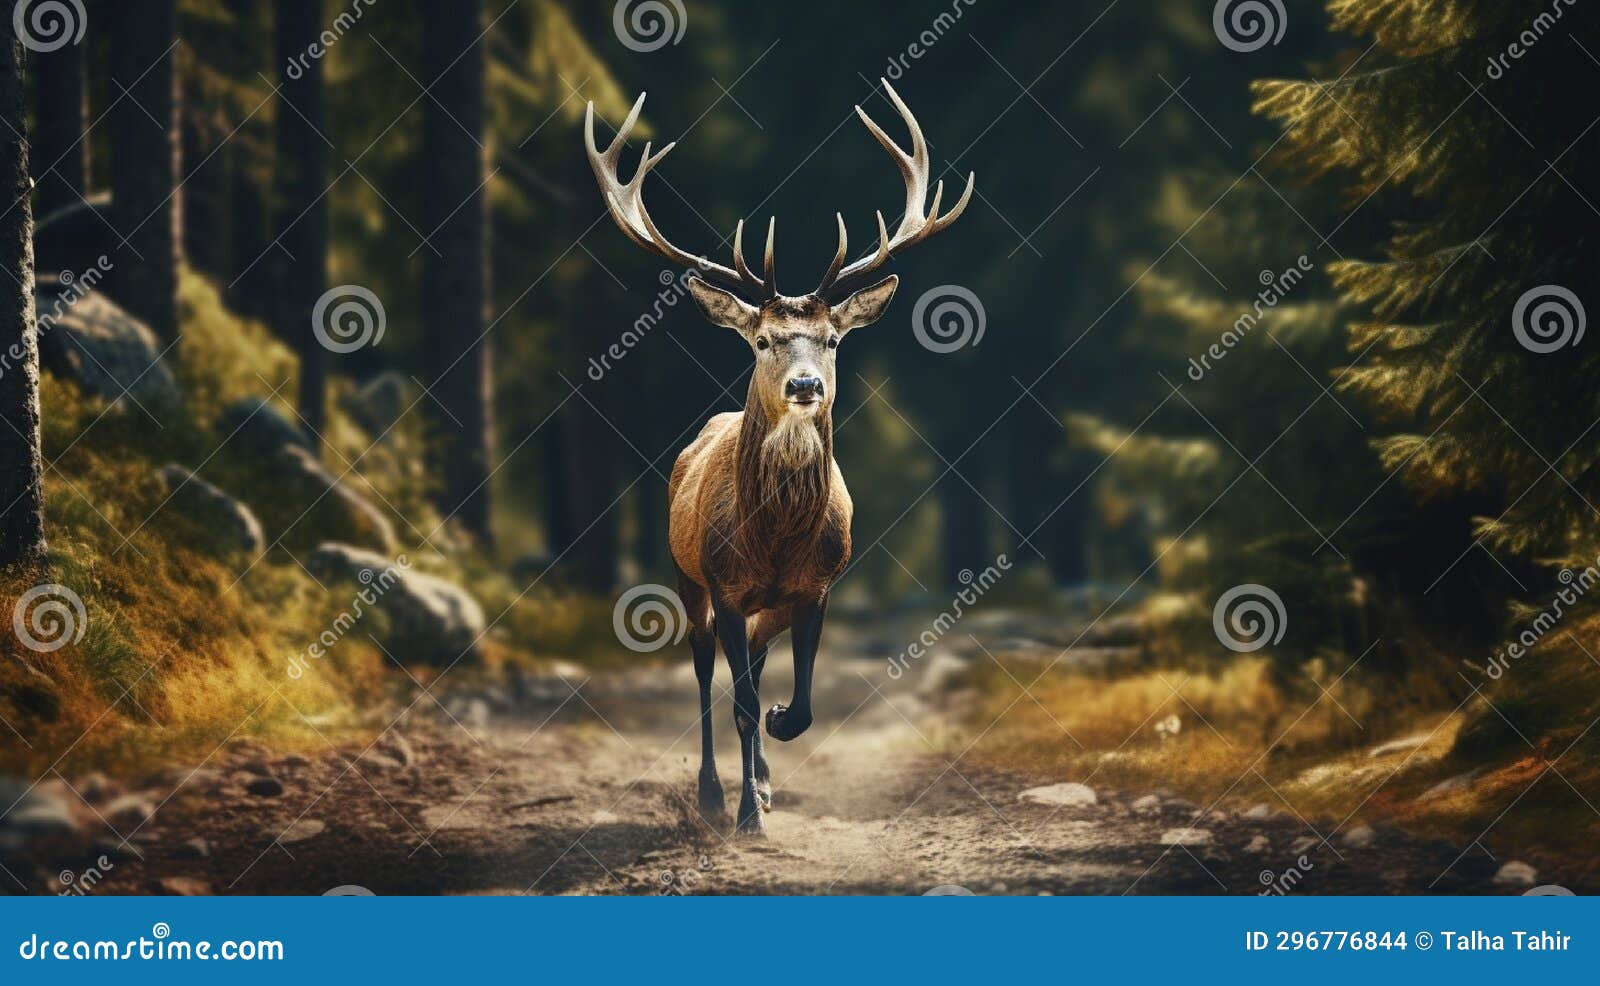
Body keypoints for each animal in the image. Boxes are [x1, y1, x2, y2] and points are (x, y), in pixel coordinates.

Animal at [584, 82, 973, 836]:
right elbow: (736, 703)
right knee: (704, 673)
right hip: (686, 578)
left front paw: (772, 752)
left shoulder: (816, 587)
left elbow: (801, 706)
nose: (805, 385)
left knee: (757, 667)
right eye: (763, 340)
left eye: (832, 339)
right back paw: (714, 793)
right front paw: (744, 816)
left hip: (762, 607)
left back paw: (762, 777)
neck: (776, 539)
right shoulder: (726, 586)